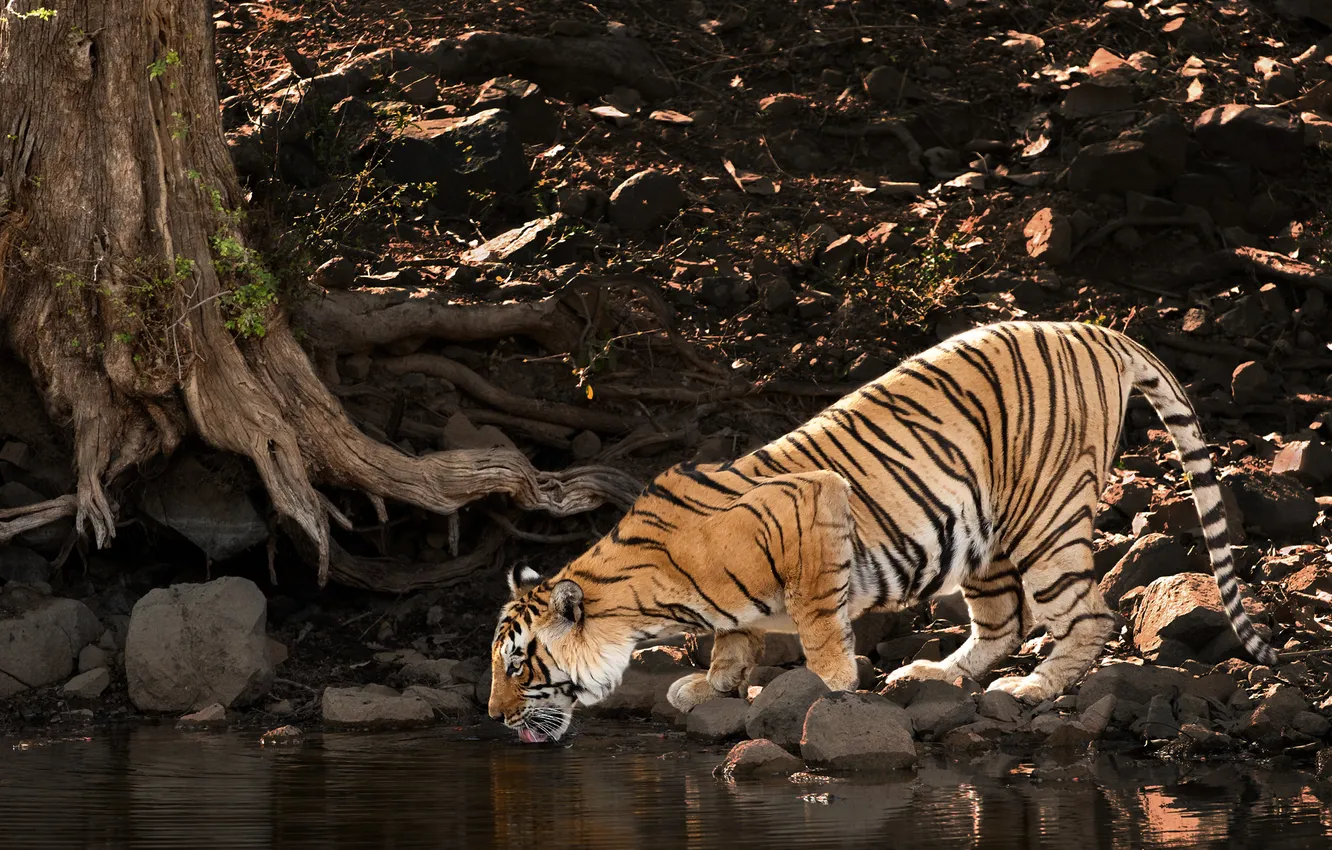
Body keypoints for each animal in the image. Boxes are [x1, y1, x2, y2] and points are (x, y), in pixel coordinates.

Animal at [488, 320, 1277, 743]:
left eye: (519, 666)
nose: (495, 717)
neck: (644, 604)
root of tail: (1094, 328)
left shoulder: (815, 505)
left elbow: (816, 624)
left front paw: (832, 687)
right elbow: (734, 637)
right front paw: (711, 685)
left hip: (1045, 517)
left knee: (1087, 615)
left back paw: (1032, 689)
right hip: (986, 535)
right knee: (1003, 622)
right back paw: (933, 674)